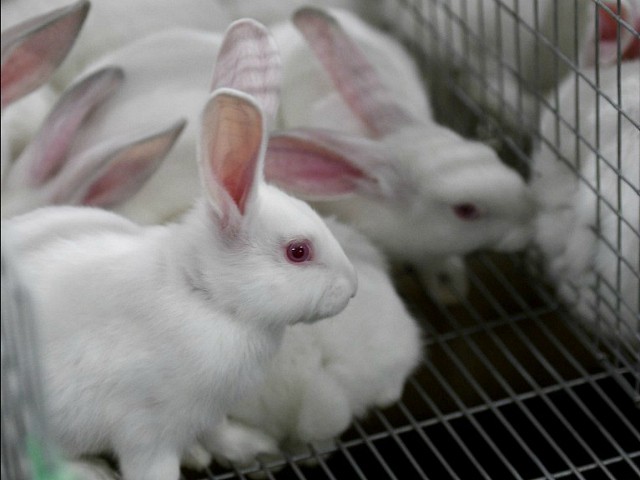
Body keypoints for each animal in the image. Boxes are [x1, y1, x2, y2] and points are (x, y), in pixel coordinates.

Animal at [2, 85, 358, 480]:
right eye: (298, 251)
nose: (351, 288)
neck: (203, 295)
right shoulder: (146, 430)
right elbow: (155, 468)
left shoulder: (207, 410)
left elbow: (219, 431)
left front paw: (253, 447)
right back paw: (92, 471)